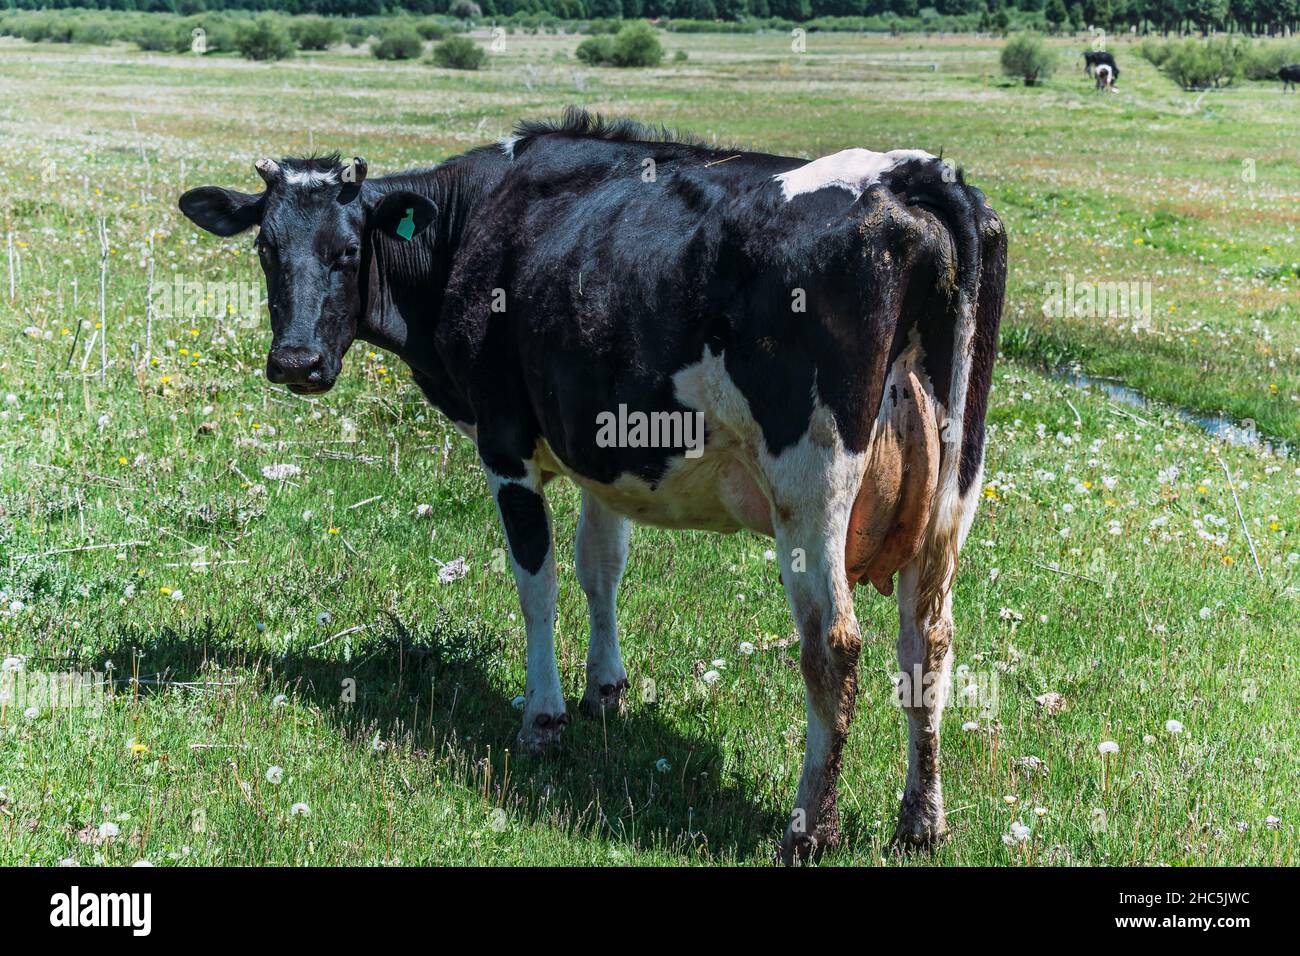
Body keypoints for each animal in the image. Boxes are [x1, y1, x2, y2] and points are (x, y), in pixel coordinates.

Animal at [177, 108, 1006, 862]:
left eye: (347, 250)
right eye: (265, 248)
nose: (296, 362)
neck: (472, 223)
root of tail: (913, 176)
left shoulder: (505, 439)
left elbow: (537, 582)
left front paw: (544, 718)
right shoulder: (600, 450)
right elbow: (600, 569)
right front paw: (605, 689)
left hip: (811, 484)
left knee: (834, 644)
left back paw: (810, 829)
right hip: (953, 491)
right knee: (927, 638)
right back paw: (921, 822)